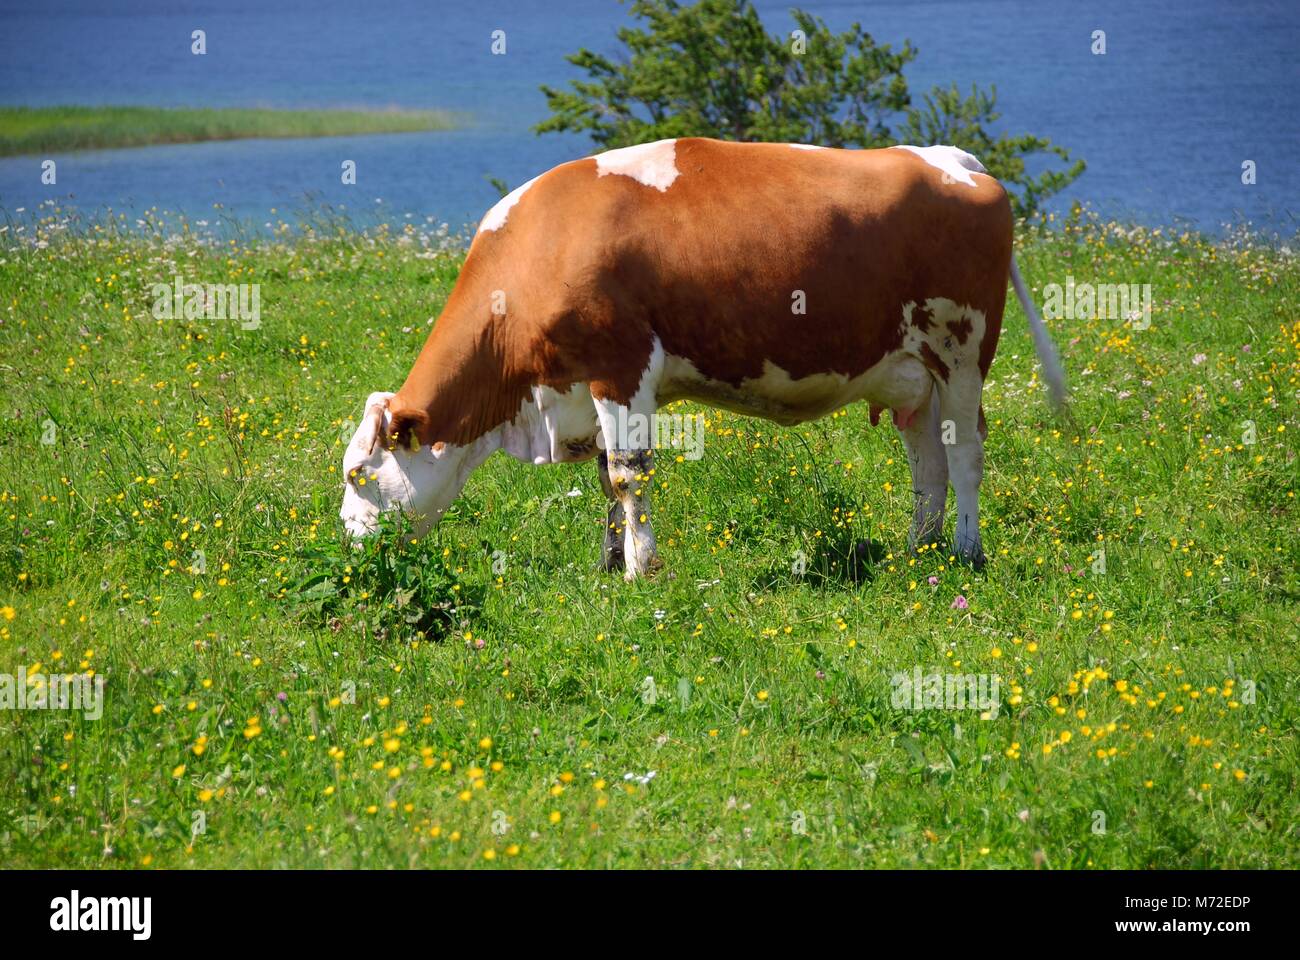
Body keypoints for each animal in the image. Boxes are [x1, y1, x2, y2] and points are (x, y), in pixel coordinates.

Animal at [339, 137, 1065, 578]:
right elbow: (606, 478)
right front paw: (610, 565)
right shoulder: (592, 388)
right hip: (913, 375)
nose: (344, 550)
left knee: (966, 454)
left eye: (357, 475)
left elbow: (628, 476)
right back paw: (921, 552)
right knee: (928, 462)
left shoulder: (620, 365)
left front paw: (643, 571)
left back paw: (967, 552)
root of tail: (947, 156)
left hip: (963, 353)